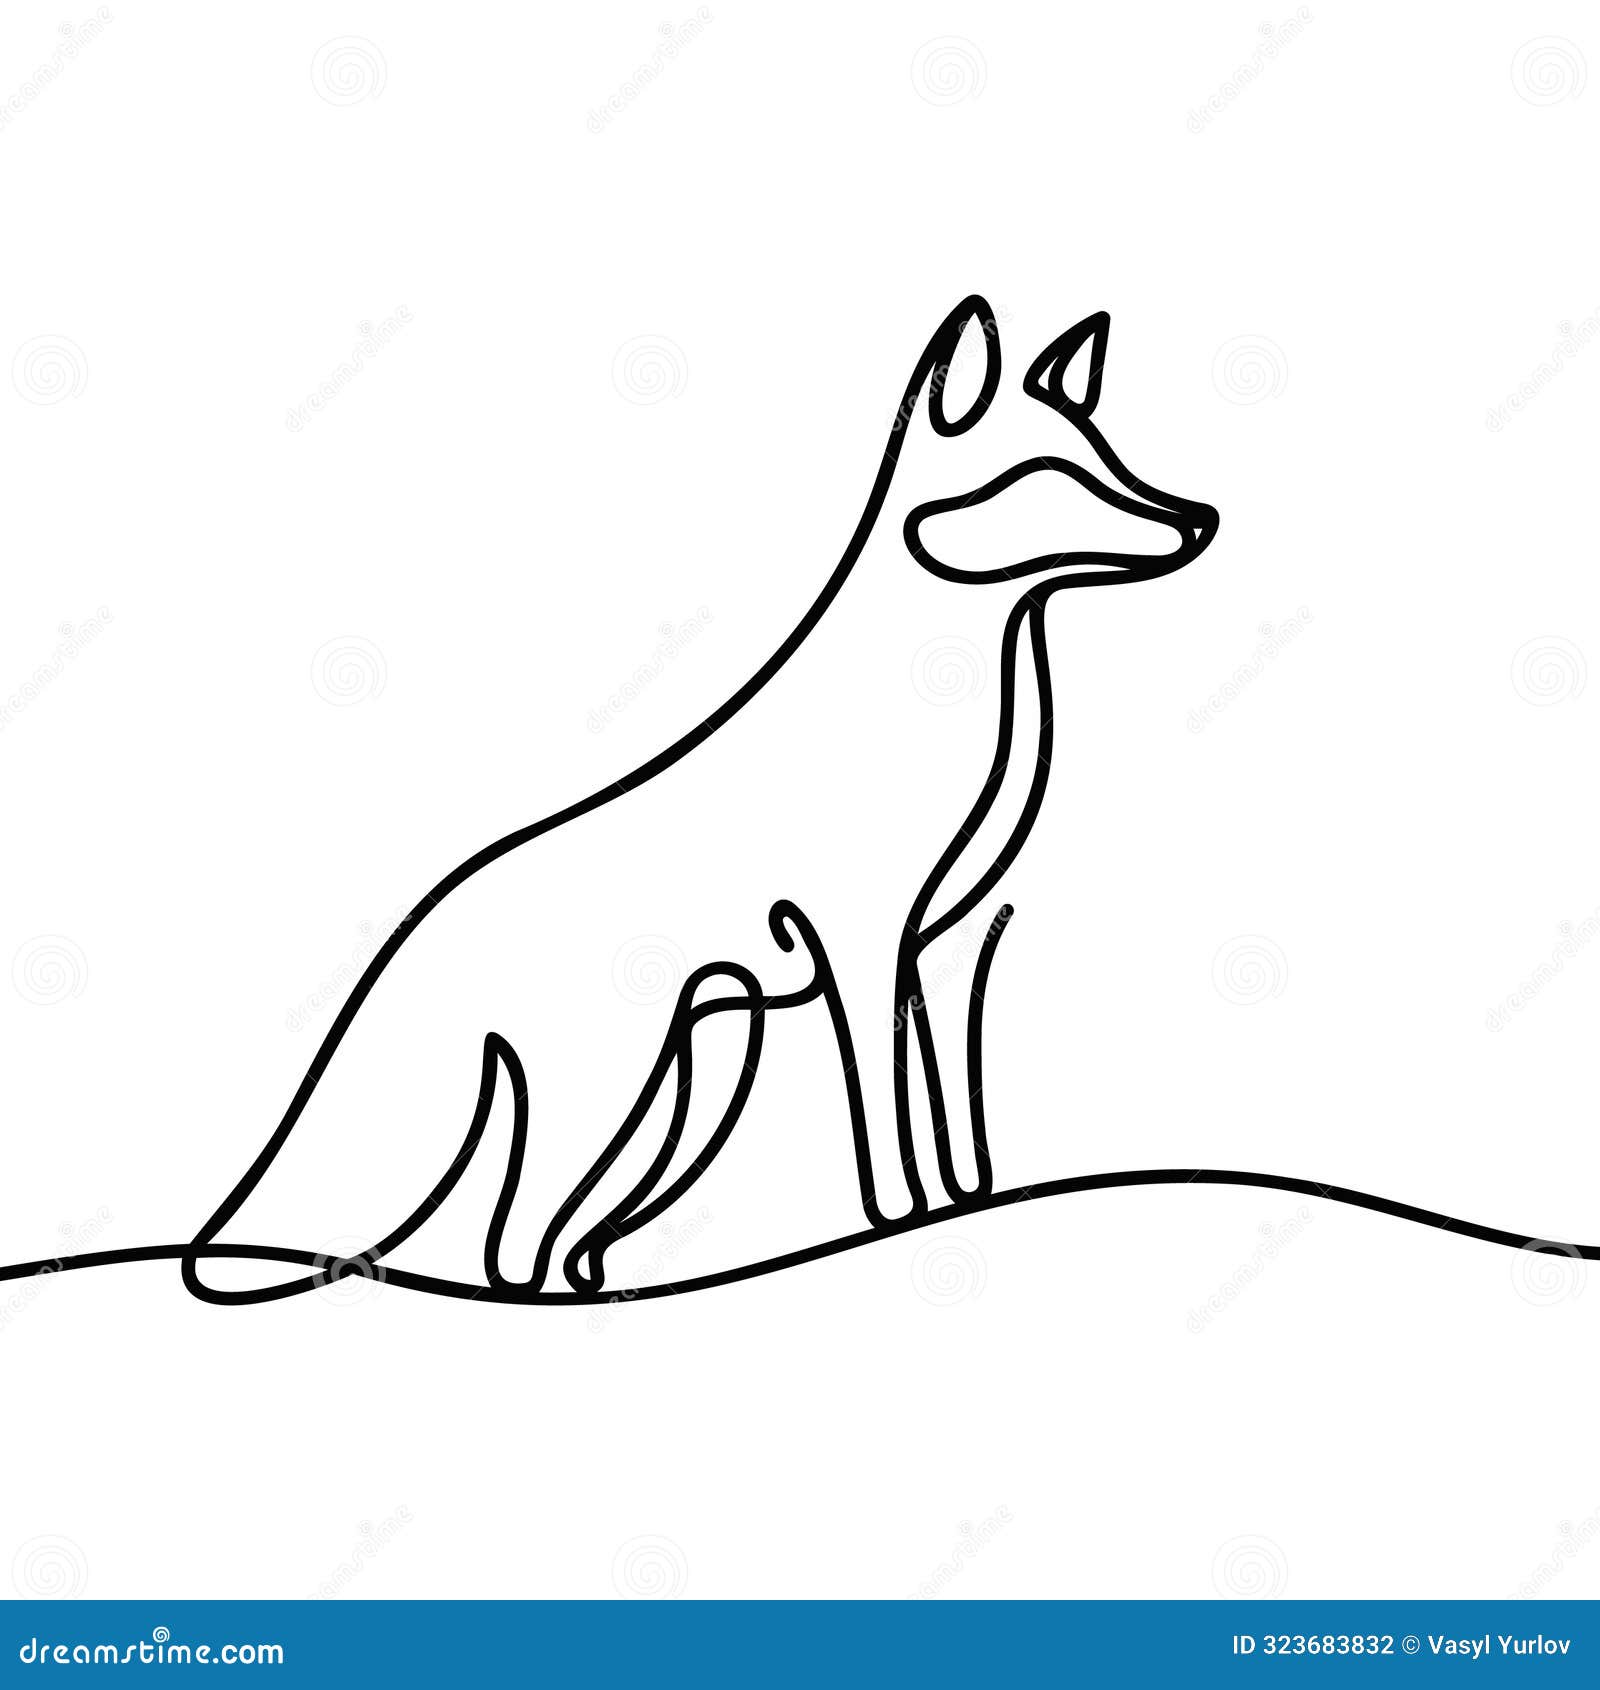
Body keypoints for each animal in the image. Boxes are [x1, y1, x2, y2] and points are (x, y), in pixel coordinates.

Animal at [164, 294, 1219, 1305]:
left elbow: (955, 1118)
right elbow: (885, 1122)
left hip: (690, 1095)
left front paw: (968, 1205)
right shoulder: (864, 939)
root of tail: (437, 913)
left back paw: (616, 1289)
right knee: (508, 1249)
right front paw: (902, 1222)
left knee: (558, 1242)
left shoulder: (952, 941)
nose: (1201, 520)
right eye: (1048, 474)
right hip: (611, 1094)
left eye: (1108, 459)